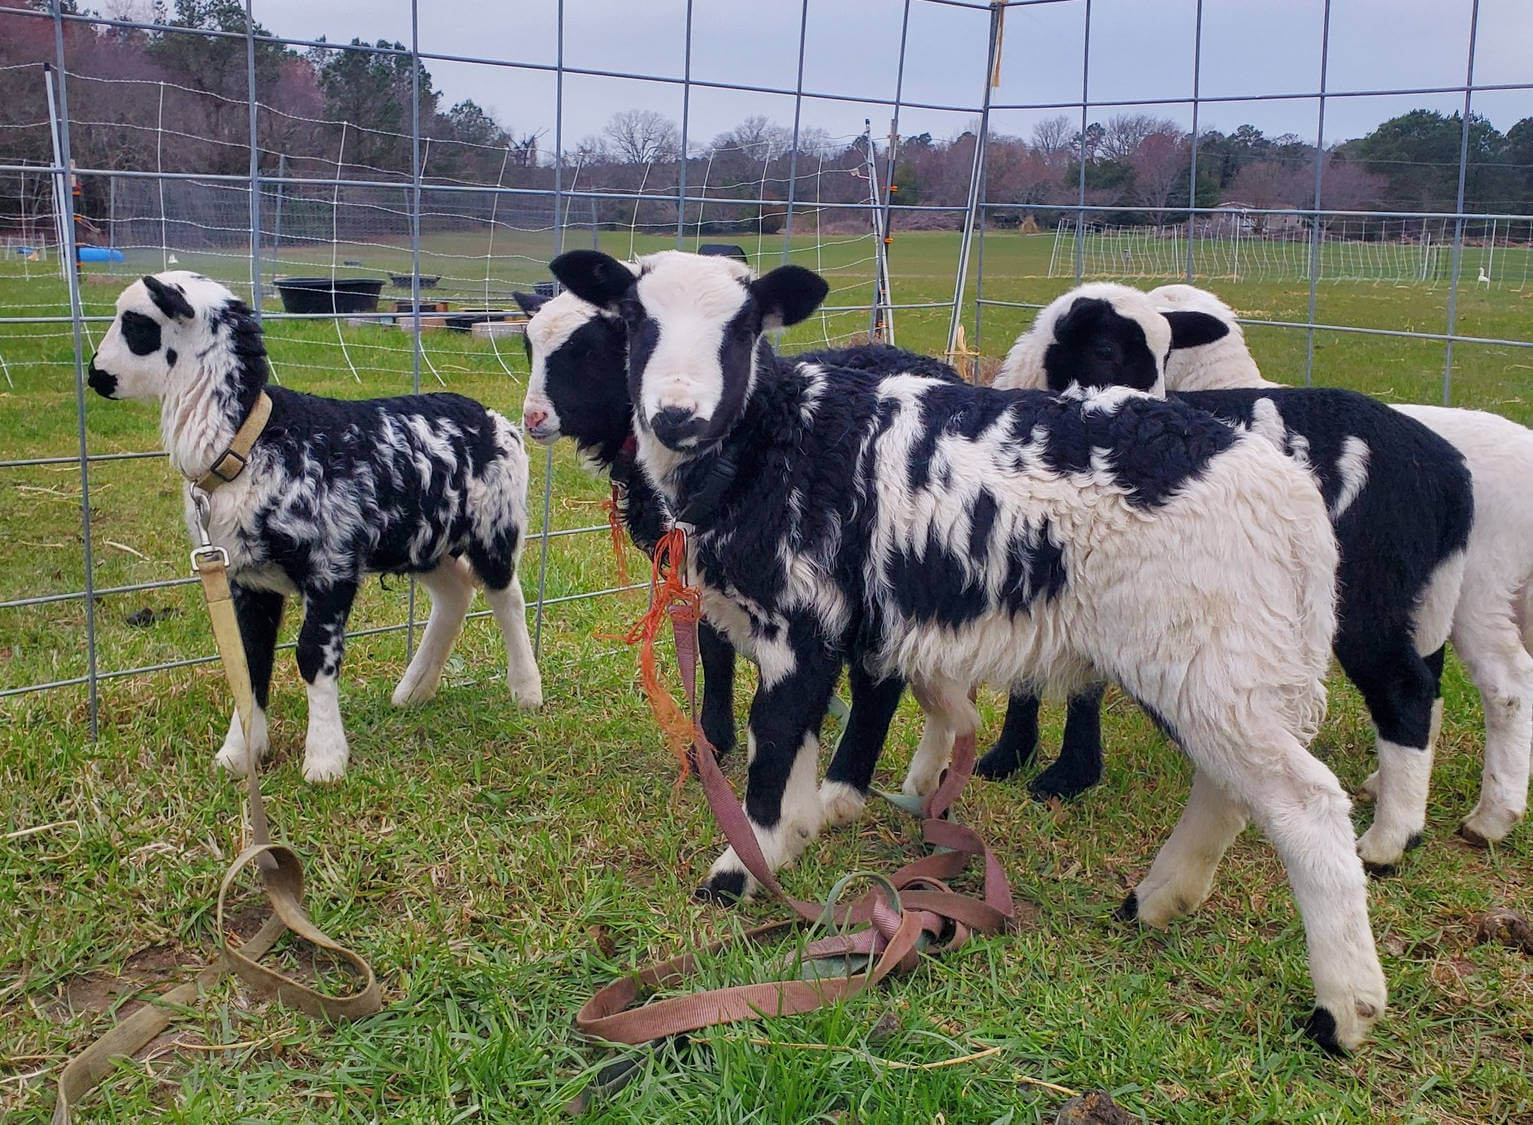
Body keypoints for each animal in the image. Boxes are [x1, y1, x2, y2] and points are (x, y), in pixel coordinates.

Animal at [87, 272, 542, 782]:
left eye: (136, 324)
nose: (95, 375)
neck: (250, 440)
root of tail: (493, 419)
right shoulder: (246, 577)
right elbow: (249, 660)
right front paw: (238, 756)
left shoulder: (331, 564)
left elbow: (311, 655)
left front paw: (324, 760)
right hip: (421, 541)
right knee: (455, 593)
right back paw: (414, 690)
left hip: (494, 525)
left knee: (506, 596)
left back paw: (527, 690)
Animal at [512, 285, 961, 823]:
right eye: (529, 345)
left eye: (587, 350)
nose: (533, 419)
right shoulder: (696, 568)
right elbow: (713, 652)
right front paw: (708, 748)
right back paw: (926, 779)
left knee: (881, 679)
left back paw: (845, 792)